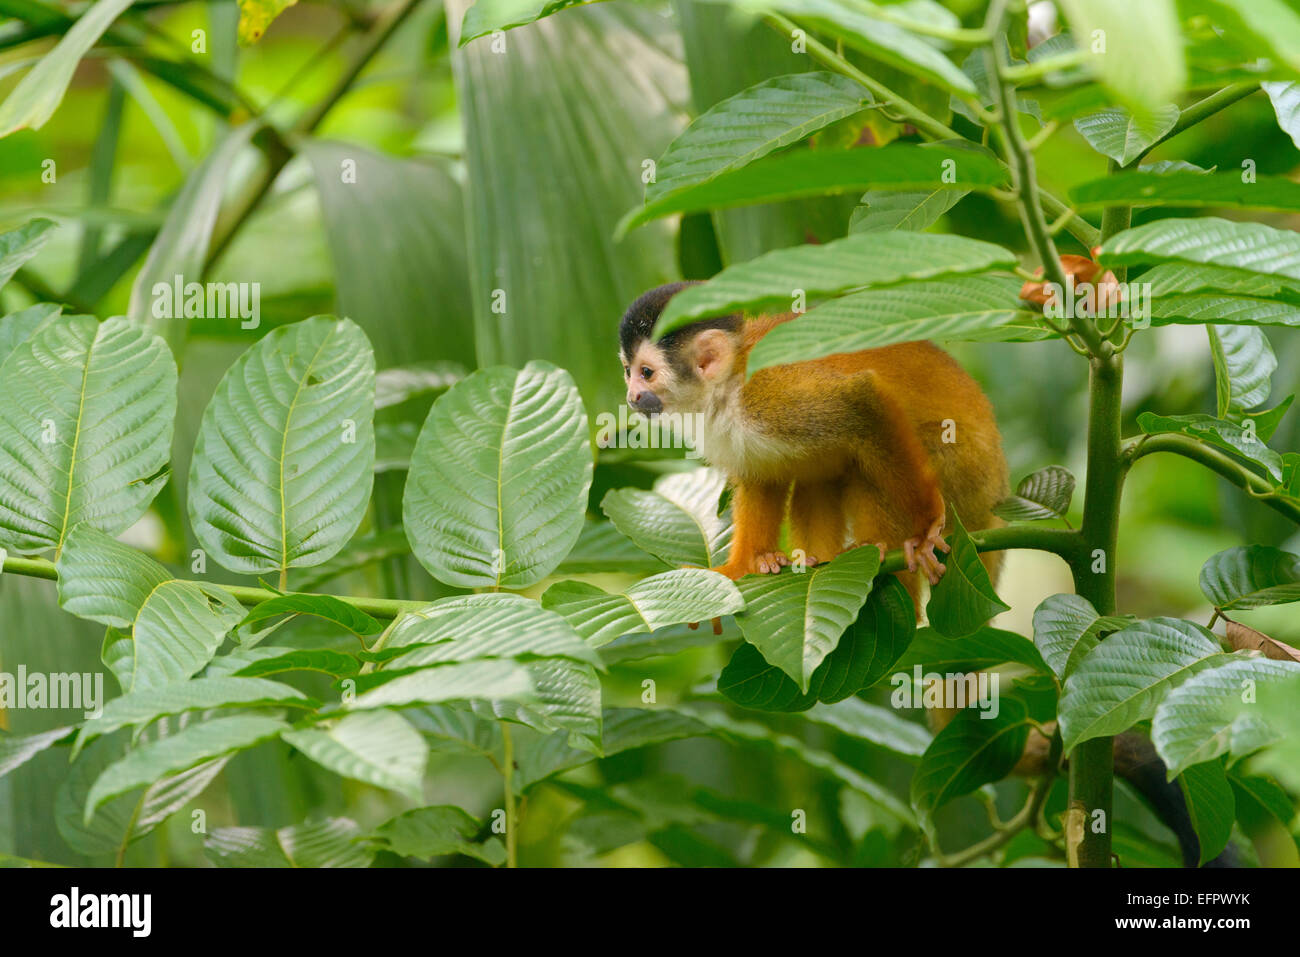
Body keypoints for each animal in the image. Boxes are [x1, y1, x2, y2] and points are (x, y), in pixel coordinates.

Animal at [618, 281, 1010, 608]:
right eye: (627, 371)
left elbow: (862, 399)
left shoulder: (769, 396)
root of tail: (995, 495)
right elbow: (761, 476)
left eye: (646, 373)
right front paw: (739, 567)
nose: (631, 396)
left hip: (964, 475)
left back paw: (880, 547)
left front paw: (926, 527)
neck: (725, 390)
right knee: (818, 469)